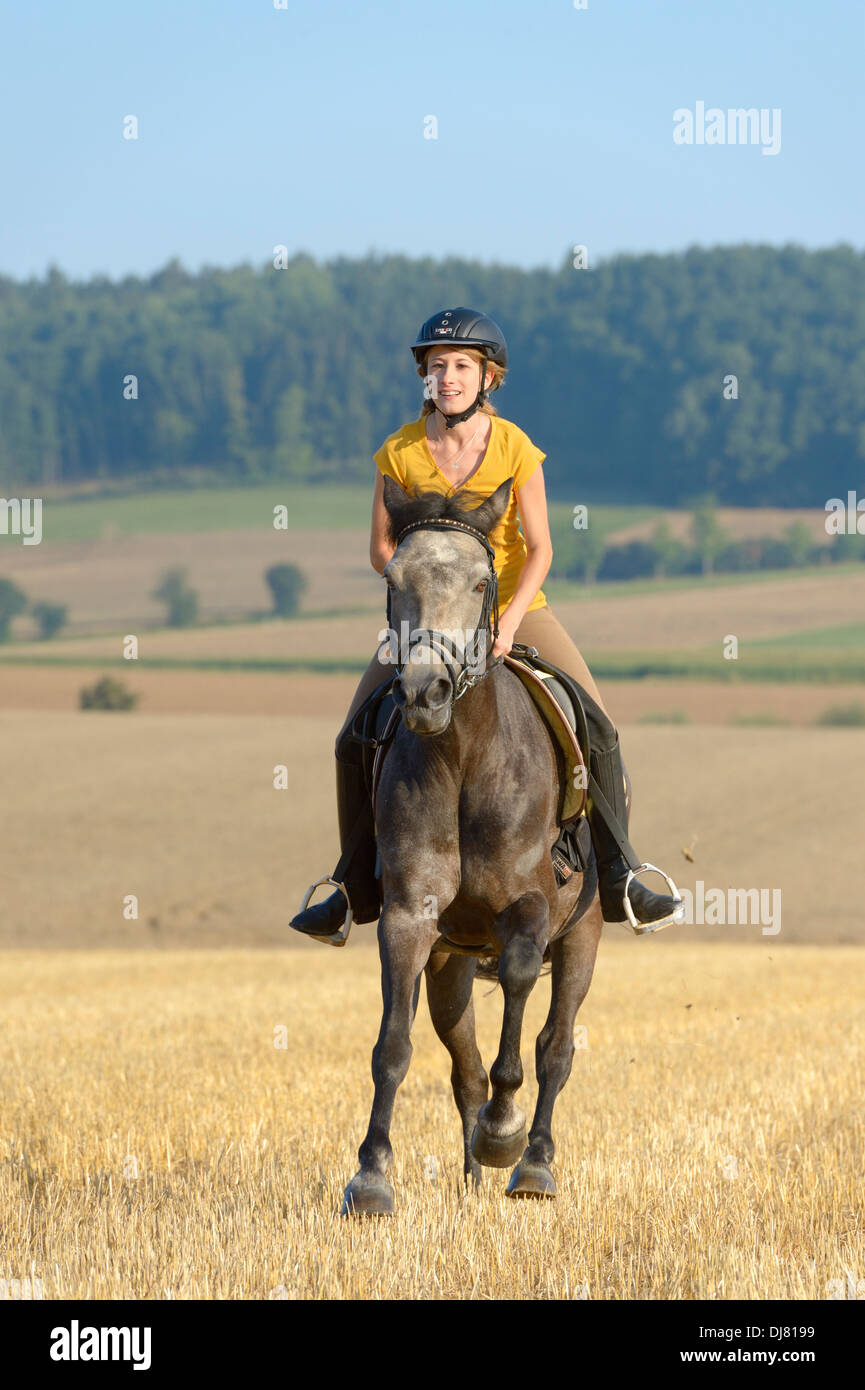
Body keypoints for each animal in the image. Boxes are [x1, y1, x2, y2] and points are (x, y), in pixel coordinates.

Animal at [341, 474, 604, 1215]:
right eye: (393, 578)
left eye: (483, 582)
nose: (425, 691)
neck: (463, 755)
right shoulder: (409, 919)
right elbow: (393, 1046)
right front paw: (371, 1177)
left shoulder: (528, 911)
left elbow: (518, 1000)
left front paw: (503, 1134)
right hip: (450, 966)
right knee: (463, 1067)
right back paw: (469, 1180)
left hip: (583, 936)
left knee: (555, 1046)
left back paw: (531, 1165)